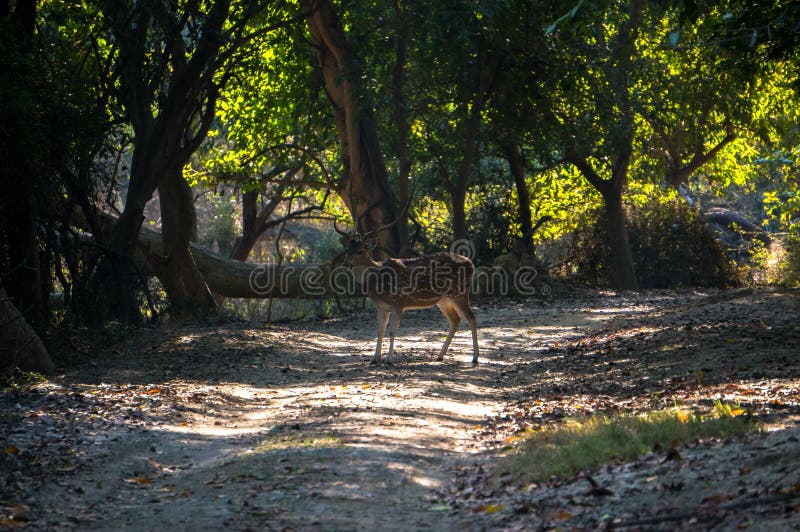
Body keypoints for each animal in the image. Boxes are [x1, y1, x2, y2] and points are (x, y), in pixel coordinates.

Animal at [335, 222, 479, 366]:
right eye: (347, 250)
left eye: (360, 251)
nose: (345, 264)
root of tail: (471, 264)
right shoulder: (382, 306)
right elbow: (380, 330)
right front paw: (375, 359)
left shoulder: (398, 302)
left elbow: (392, 330)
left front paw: (389, 360)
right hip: (444, 299)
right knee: (455, 319)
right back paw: (440, 356)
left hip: (459, 292)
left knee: (471, 317)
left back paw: (475, 357)